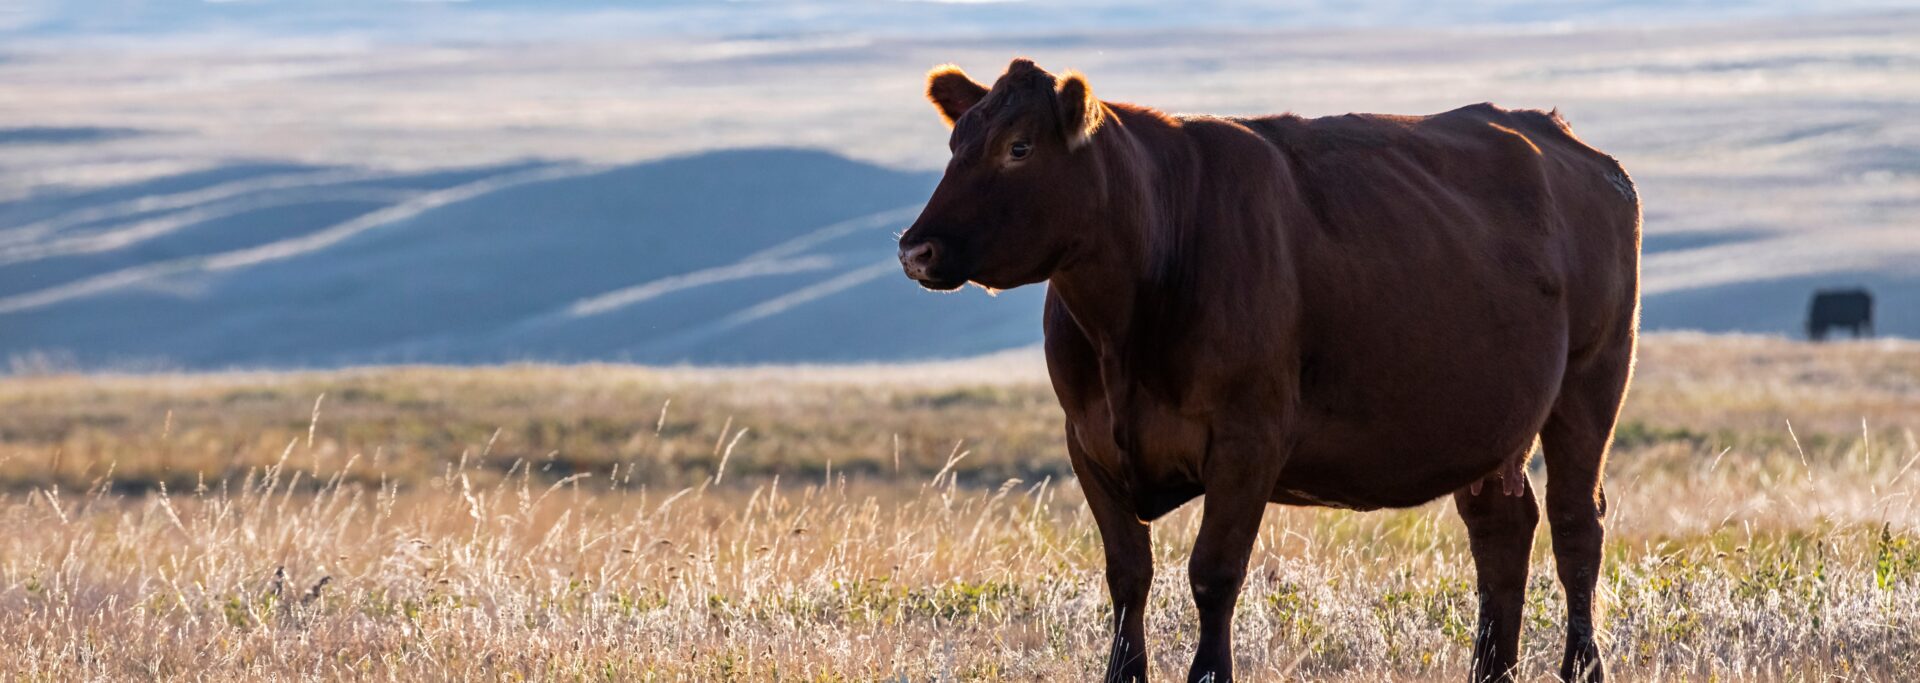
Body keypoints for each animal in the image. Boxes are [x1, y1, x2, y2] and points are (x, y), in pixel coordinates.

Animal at [897, 59, 1640, 683]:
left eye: (1019, 147)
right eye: (956, 143)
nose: (915, 248)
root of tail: (1564, 138)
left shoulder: (1247, 440)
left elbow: (1213, 572)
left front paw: (1209, 674)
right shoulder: (1088, 441)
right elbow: (1127, 574)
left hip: (1591, 378)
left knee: (1576, 525)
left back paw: (1583, 668)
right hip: (1486, 421)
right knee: (1502, 529)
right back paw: (1490, 671)